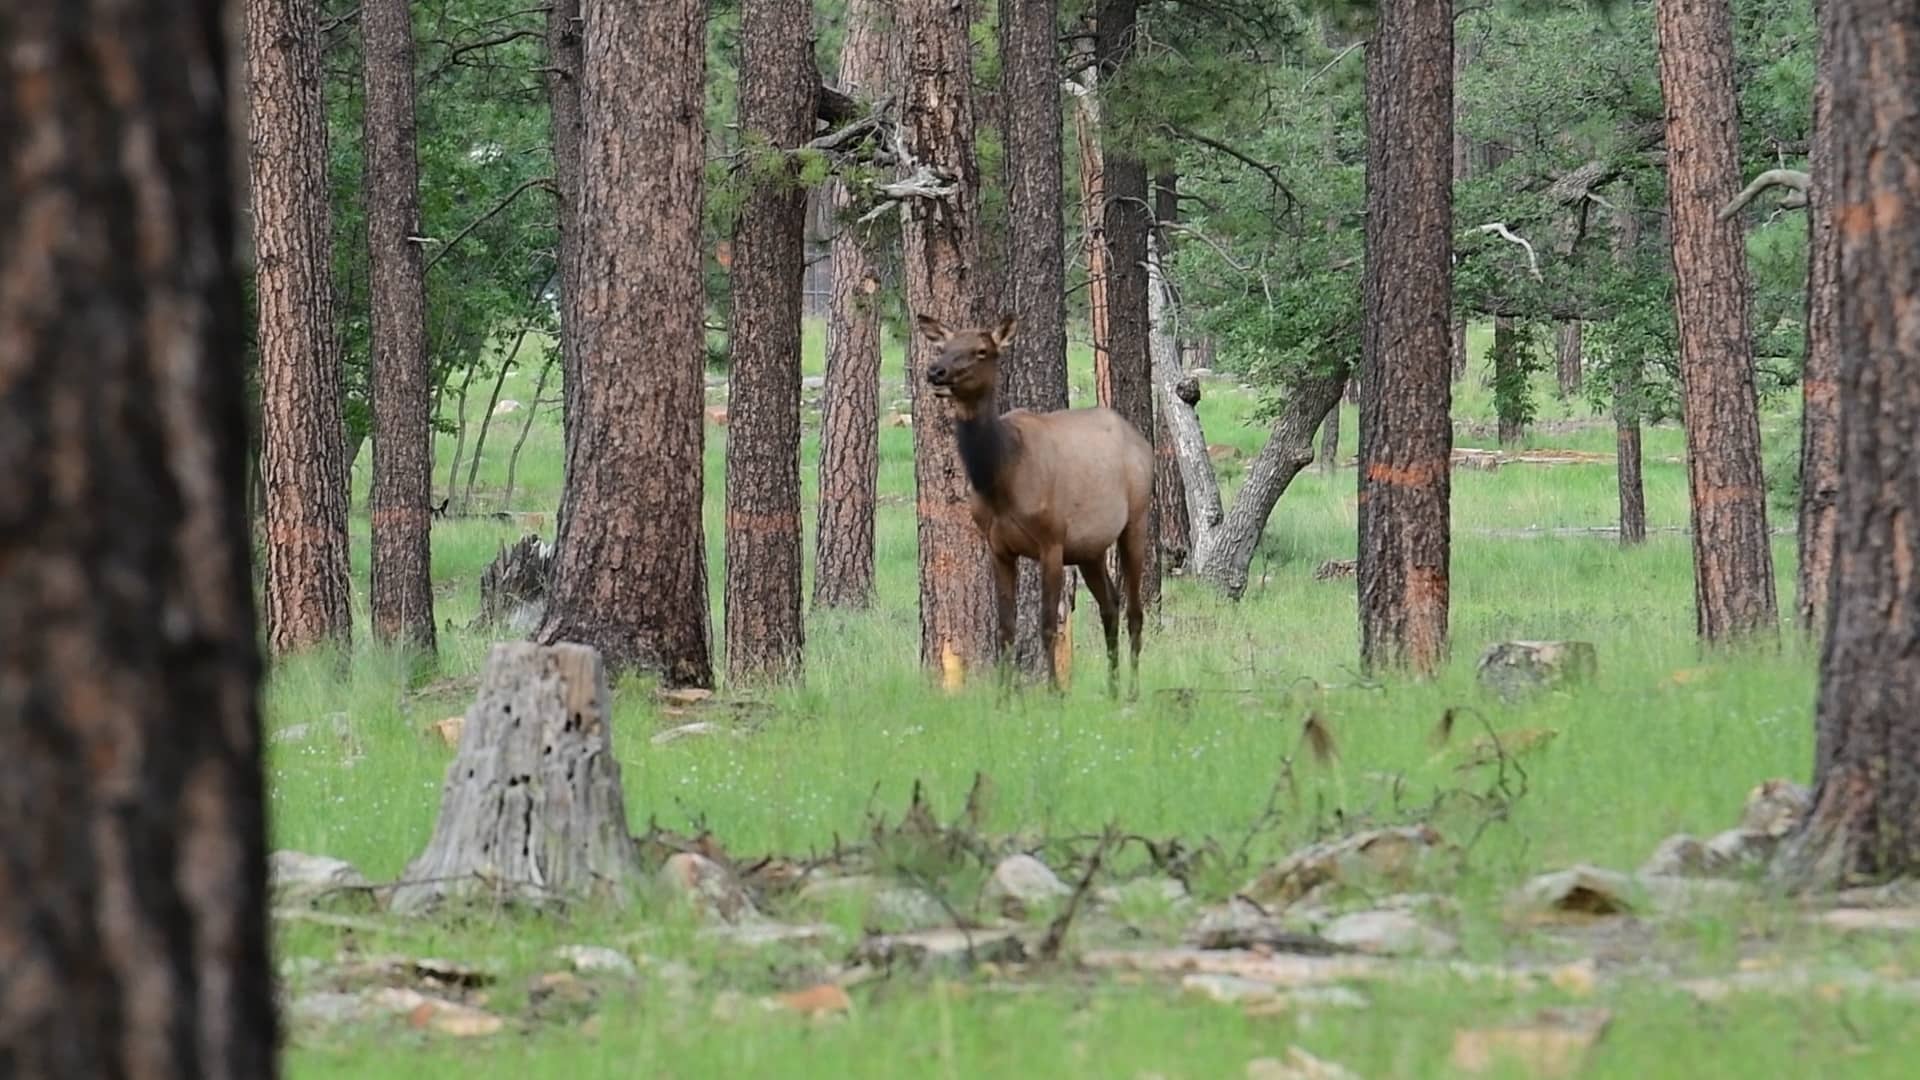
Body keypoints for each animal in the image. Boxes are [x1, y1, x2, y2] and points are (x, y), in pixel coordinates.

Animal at [917, 313, 1154, 700]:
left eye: (981, 350)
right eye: (944, 346)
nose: (935, 371)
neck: (1000, 478)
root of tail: (1142, 442)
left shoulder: (1051, 541)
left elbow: (1046, 624)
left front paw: (1055, 693)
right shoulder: (998, 547)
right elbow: (1005, 628)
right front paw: (1003, 698)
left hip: (1136, 520)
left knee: (1135, 610)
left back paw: (1133, 691)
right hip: (1089, 549)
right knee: (1110, 604)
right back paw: (1112, 688)